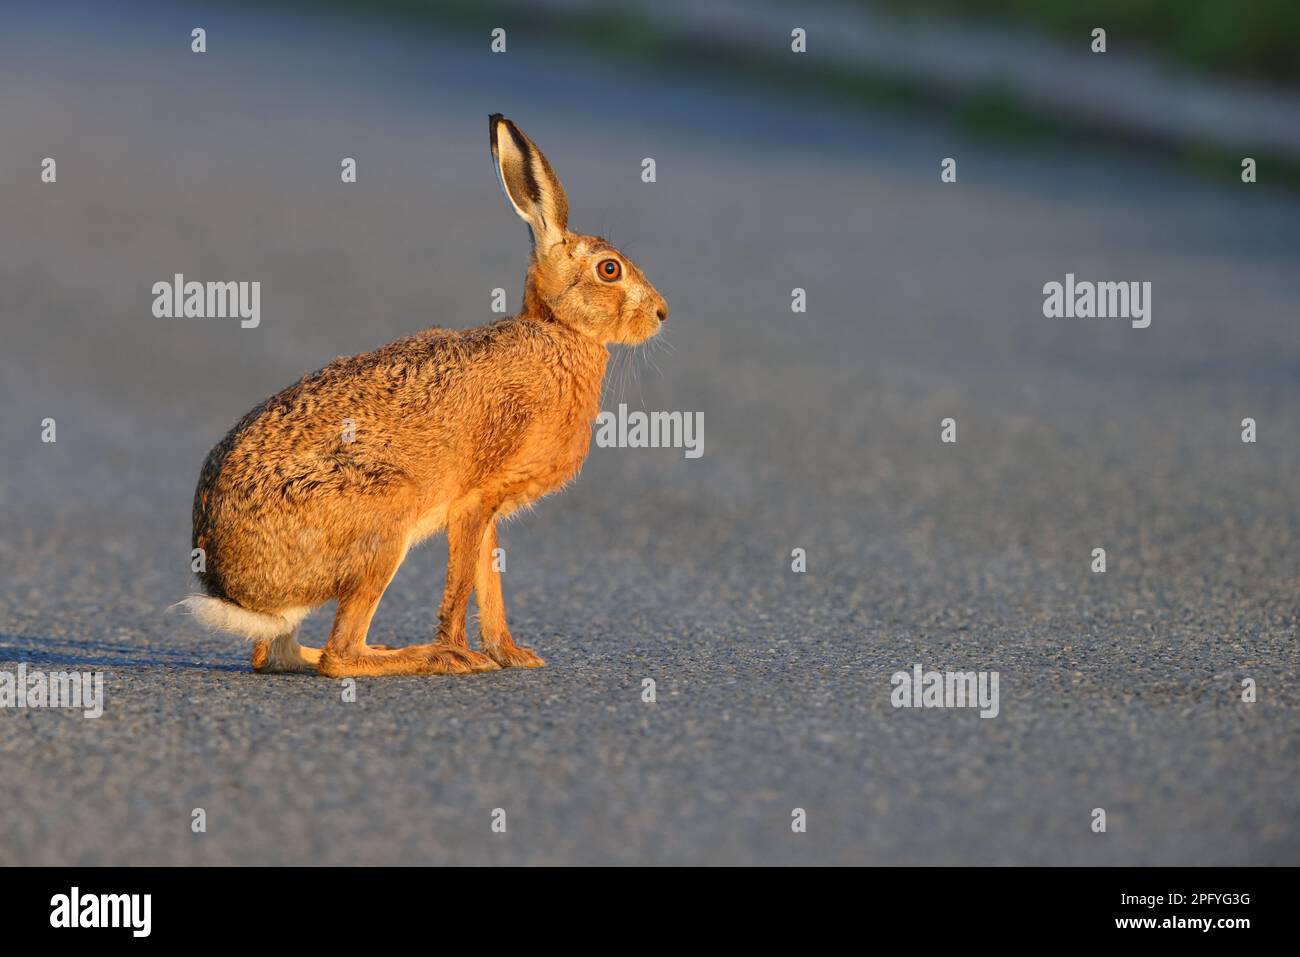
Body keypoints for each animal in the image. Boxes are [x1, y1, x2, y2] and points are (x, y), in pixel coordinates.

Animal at [178, 114, 668, 677]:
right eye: (610, 270)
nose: (661, 313)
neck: (560, 333)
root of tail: (232, 585)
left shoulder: (488, 509)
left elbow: (487, 582)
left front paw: (512, 655)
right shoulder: (476, 499)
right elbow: (461, 585)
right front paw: (467, 655)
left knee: (279, 654)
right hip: (387, 511)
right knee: (339, 656)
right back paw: (427, 657)